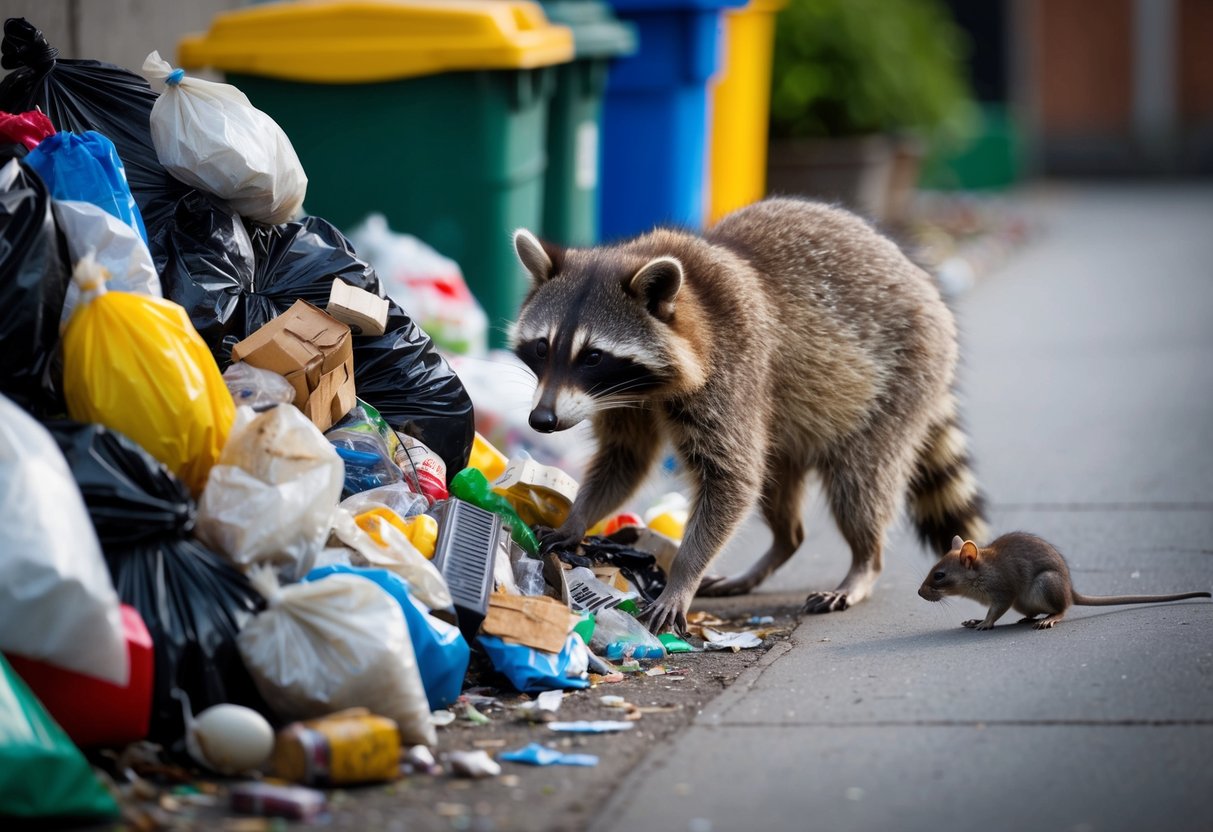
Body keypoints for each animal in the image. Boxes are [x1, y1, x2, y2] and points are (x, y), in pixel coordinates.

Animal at [511, 197, 988, 634]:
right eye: (542, 347)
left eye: (593, 356)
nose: (542, 421)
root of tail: (920, 277)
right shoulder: (620, 399)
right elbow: (625, 459)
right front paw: (578, 517)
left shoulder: (733, 369)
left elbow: (732, 479)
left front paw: (682, 576)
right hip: (793, 426)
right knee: (777, 487)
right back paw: (781, 545)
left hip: (901, 380)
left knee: (859, 484)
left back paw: (864, 562)